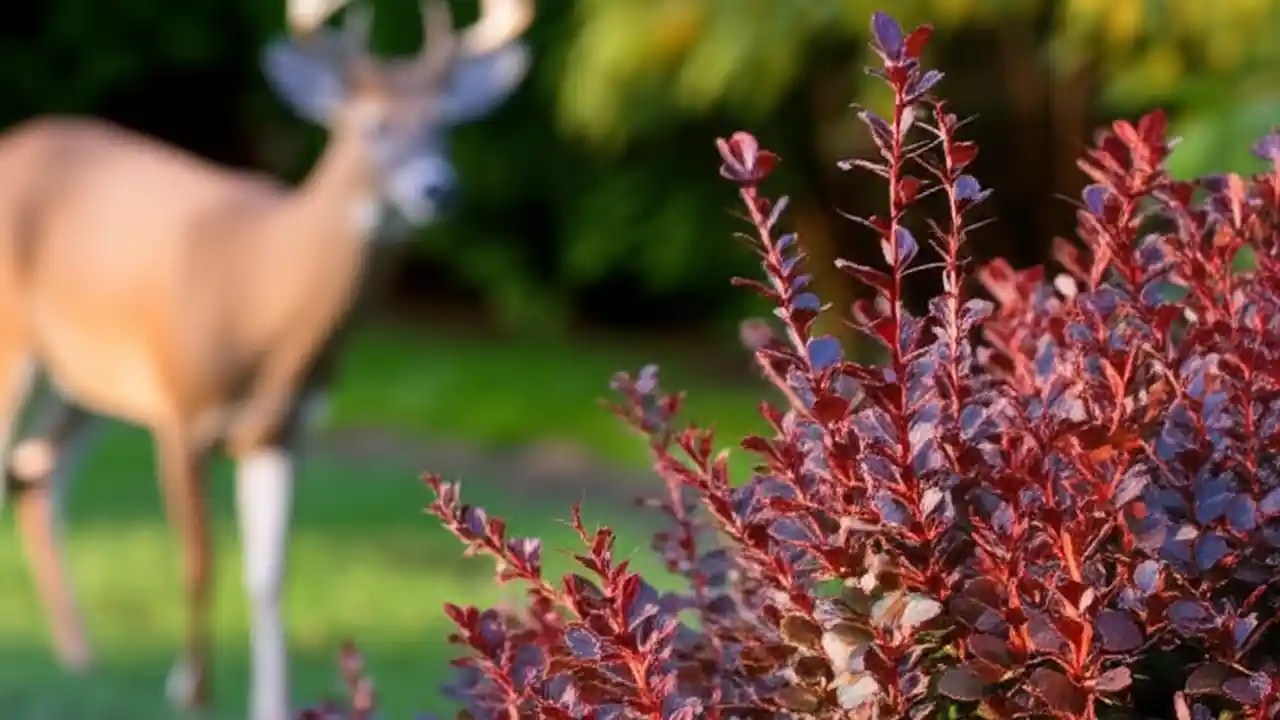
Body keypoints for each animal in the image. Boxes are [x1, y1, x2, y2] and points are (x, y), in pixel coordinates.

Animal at [0, 0, 533, 717]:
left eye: (445, 124)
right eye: (372, 123)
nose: (437, 189)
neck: (264, 309)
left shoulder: (281, 430)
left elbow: (270, 573)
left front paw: (271, 702)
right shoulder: (182, 409)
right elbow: (199, 559)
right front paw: (192, 690)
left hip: (85, 381)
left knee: (39, 472)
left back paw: (79, 654)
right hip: (18, 342)